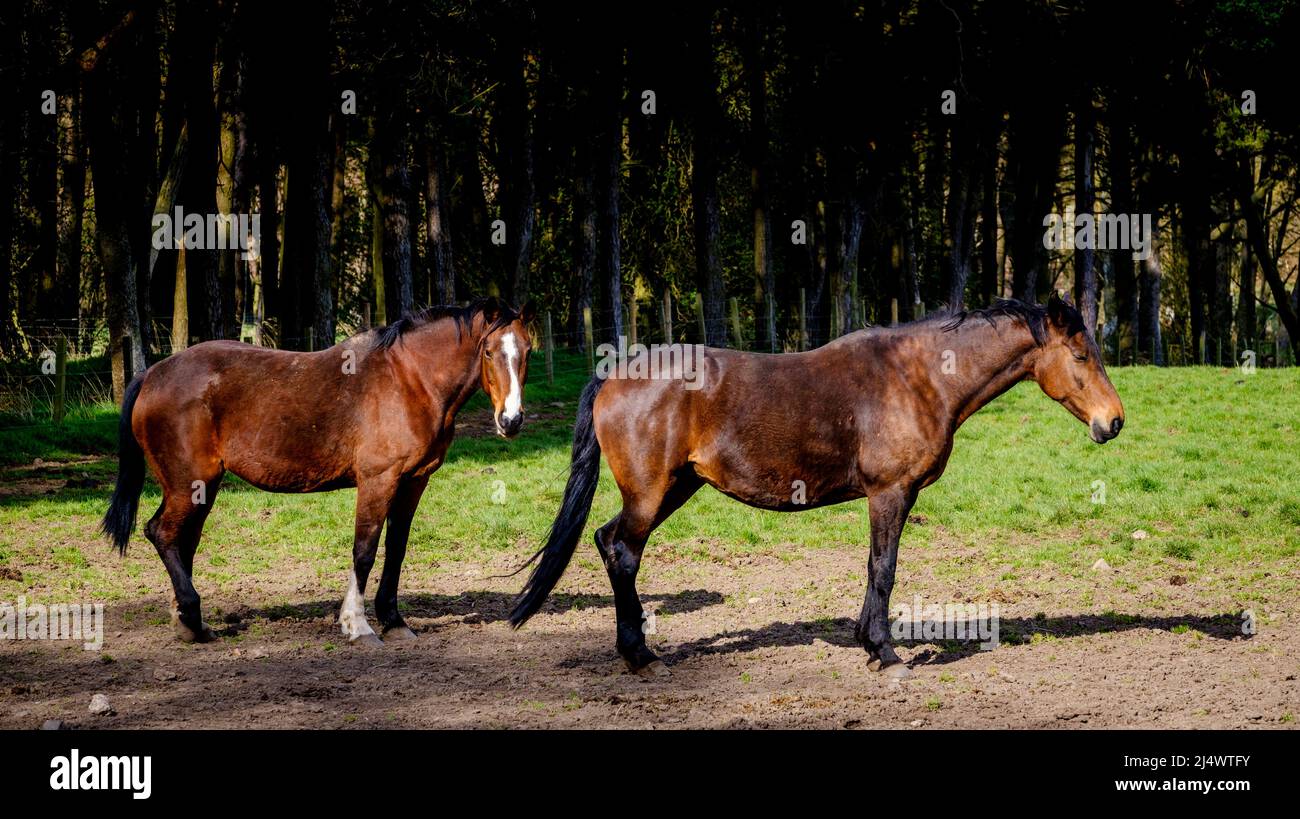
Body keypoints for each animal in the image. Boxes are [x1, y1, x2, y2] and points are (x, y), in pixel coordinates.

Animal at [101, 297, 536, 646]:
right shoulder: (378, 481)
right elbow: (365, 551)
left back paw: (188, 622)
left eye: (527, 351)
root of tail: (152, 375)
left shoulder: (414, 481)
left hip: (200, 488)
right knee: (162, 534)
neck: (410, 380)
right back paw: (191, 617)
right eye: (488, 352)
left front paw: (394, 621)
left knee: (182, 541)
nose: (511, 420)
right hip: (189, 483)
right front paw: (358, 625)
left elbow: (396, 549)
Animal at [508, 294, 1124, 679]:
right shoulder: (891, 493)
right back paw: (641, 657)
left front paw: (869, 645)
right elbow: (884, 568)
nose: (1114, 422)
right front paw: (886, 653)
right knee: (622, 551)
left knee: (609, 542)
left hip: (674, 489)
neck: (920, 377)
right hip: (650, 493)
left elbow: (875, 568)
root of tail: (616, 373)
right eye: (1079, 354)